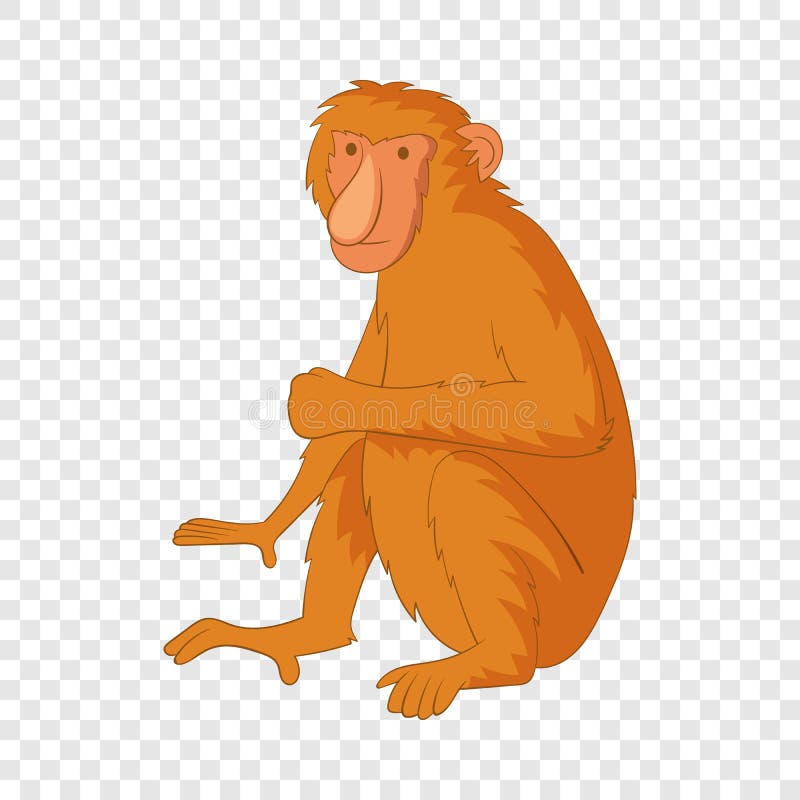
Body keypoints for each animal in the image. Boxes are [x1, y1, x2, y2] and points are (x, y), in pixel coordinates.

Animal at [165, 81, 636, 719]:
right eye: (351, 150)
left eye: (406, 156)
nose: (360, 203)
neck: (438, 244)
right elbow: (346, 431)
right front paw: (262, 528)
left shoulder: (513, 266)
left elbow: (564, 411)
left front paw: (321, 397)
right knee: (366, 452)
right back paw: (309, 633)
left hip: (556, 617)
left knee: (451, 469)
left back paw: (493, 661)